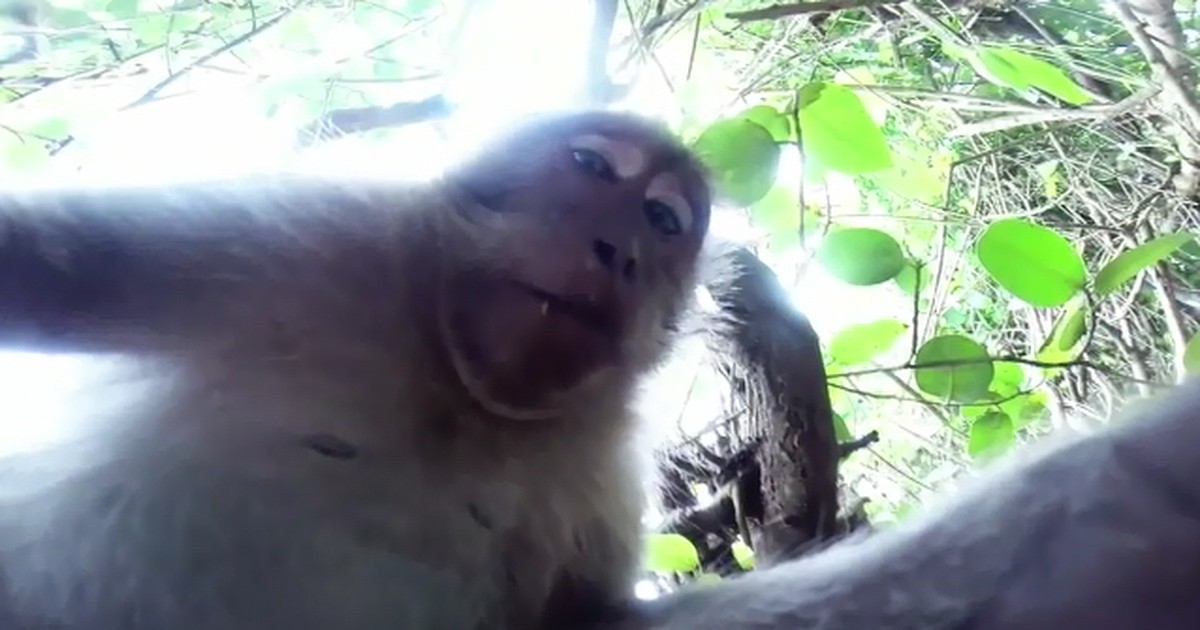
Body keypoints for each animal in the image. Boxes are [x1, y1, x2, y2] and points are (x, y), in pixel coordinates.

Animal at [0, 109, 713, 629]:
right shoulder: (319, 236)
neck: (455, 389)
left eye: (661, 219)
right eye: (591, 165)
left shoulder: (599, 474)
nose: (619, 253)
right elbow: (42, 259)